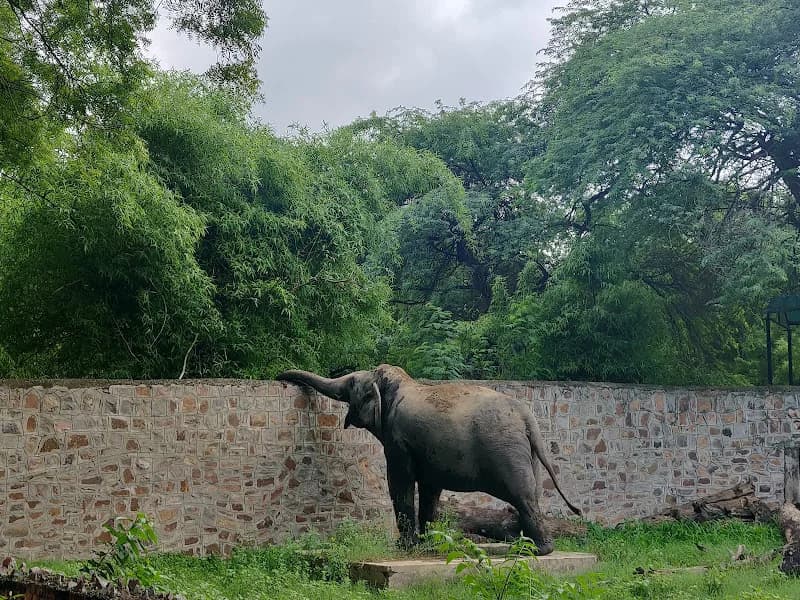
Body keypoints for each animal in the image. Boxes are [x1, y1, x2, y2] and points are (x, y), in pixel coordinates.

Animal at [276, 364, 581, 555]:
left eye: (351, 384)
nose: (282, 377)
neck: (399, 384)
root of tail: (527, 416)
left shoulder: (398, 440)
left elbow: (399, 483)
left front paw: (405, 547)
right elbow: (430, 488)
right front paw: (428, 546)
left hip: (507, 453)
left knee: (522, 496)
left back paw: (537, 550)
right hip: (527, 454)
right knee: (532, 495)